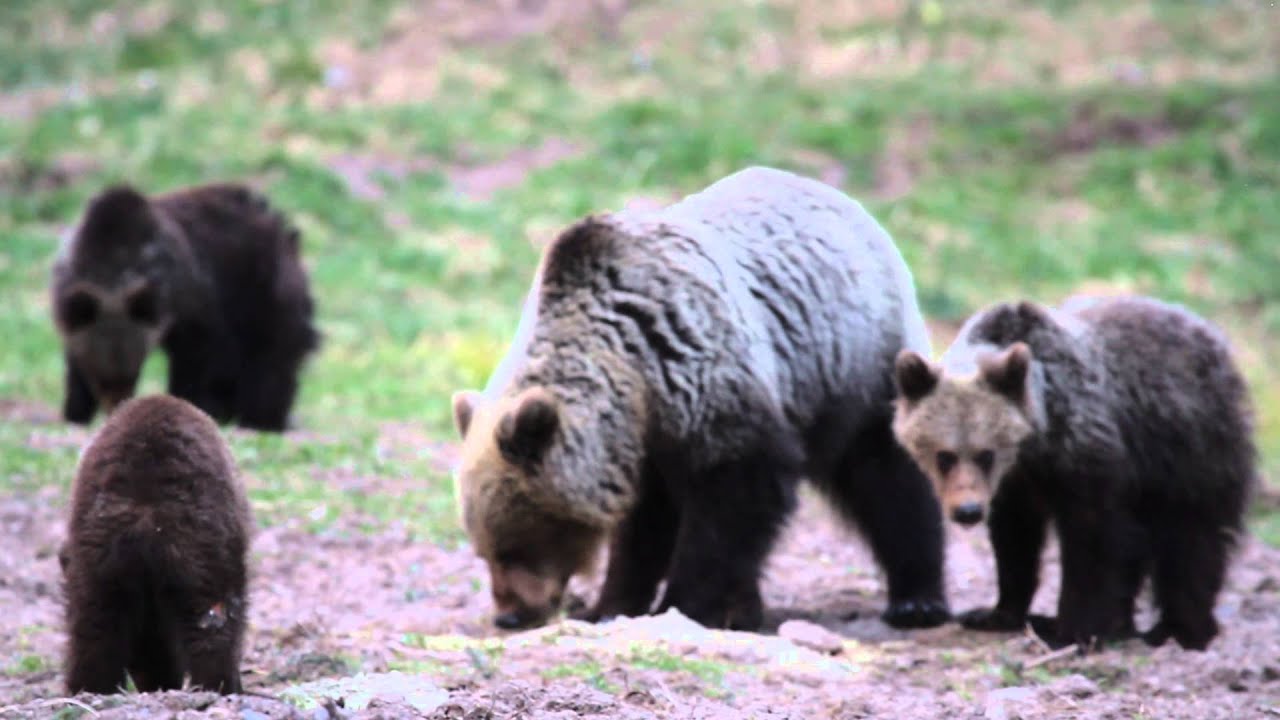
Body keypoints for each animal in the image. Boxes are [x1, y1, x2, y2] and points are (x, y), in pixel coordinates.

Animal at [51, 182, 320, 431]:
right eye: (101, 378)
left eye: (132, 373)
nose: (115, 408)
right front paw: (75, 411)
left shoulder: (190, 301)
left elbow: (195, 356)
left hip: (264, 294)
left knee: (269, 362)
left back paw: (263, 418)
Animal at [61, 394, 252, 694]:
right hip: (202, 555)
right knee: (212, 628)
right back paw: (222, 689)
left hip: (98, 564)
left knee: (94, 630)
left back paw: (91, 690)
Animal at [450, 166, 950, 632]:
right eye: (483, 550)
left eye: (513, 547)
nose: (509, 615)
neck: (634, 374)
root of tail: (843, 200)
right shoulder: (644, 446)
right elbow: (645, 529)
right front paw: (610, 605)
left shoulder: (705, 380)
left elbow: (732, 501)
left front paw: (684, 603)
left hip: (854, 363)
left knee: (886, 477)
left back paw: (917, 599)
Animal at [892, 296, 1256, 651]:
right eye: (945, 456)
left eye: (985, 454)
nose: (967, 511)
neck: (1036, 443)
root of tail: (1211, 332)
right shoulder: (1015, 486)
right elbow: (1015, 539)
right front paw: (995, 613)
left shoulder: (1085, 454)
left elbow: (1092, 540)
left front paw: (1072, 632)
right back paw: (1118, 623)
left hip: (1187, 442)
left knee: (1192, 538)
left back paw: (1179, 630)